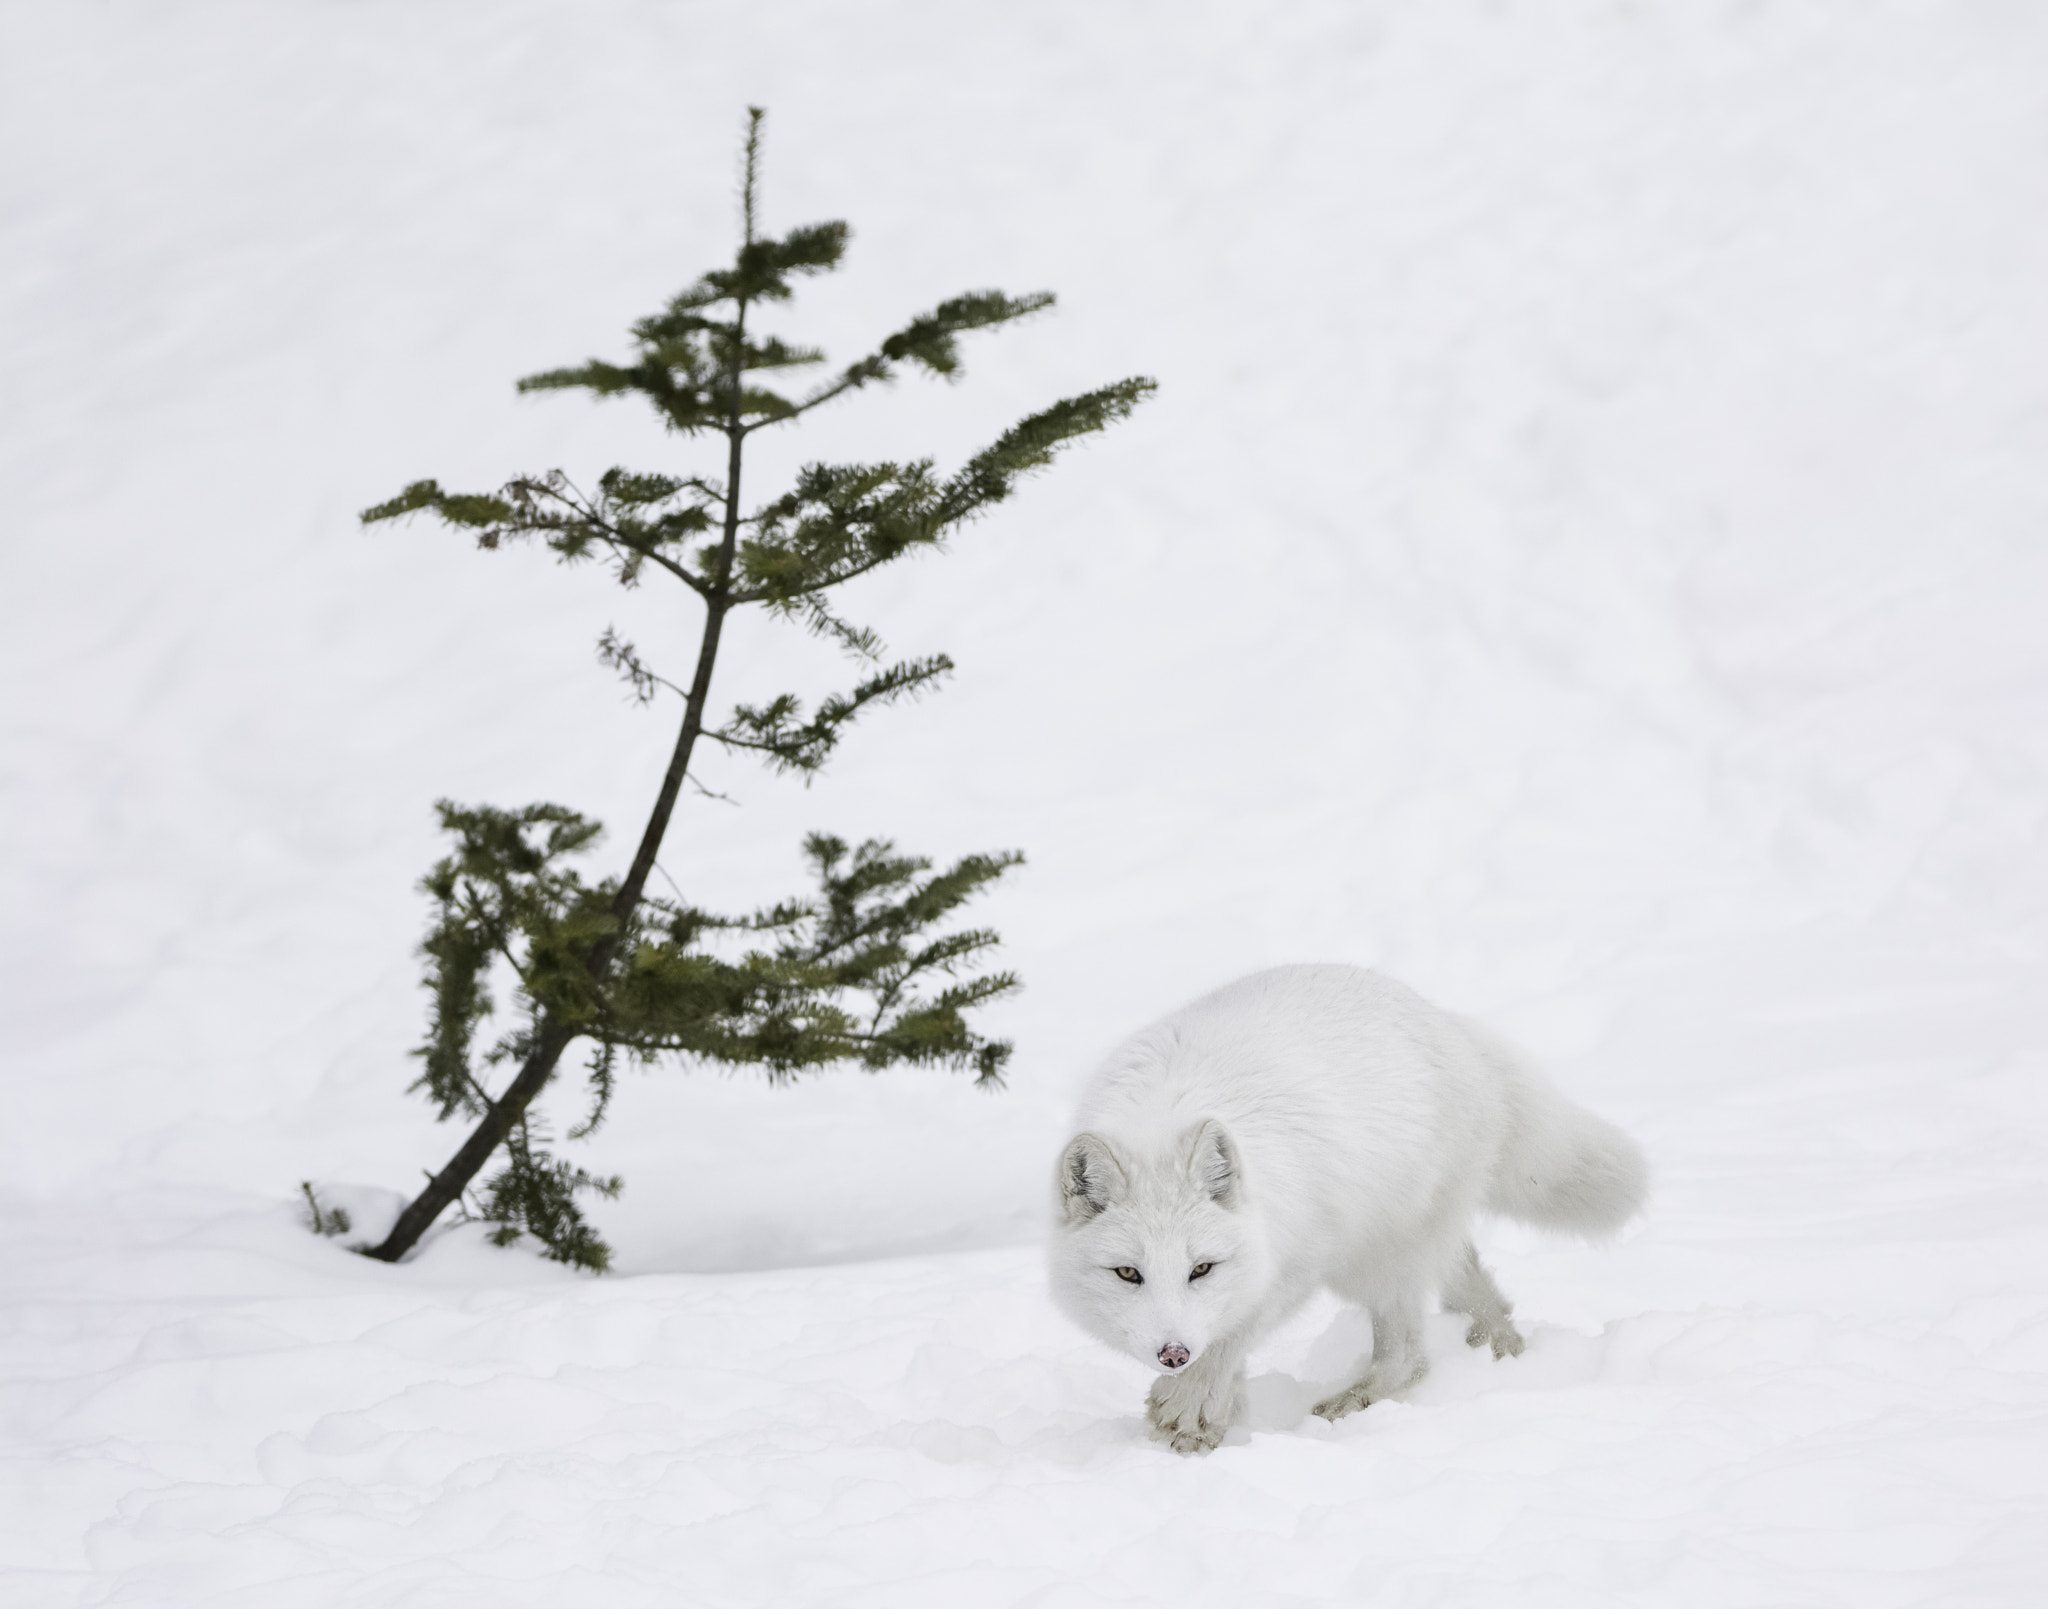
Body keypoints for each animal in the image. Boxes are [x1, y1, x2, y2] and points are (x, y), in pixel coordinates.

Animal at [1049, 964, 1647, 1453]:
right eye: (1129, 1273)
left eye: (1201, 1269)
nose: (1173, 1354)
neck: (1158, 1124)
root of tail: (1450, 1024)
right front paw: (1213, 1414)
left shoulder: (1294, 1260)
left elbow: (1231, 1335)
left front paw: (1191, 1406)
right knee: (1471, 1289)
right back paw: (1499, 1346)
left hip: (1380, 1257)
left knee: (1410, 1359)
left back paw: (1347, 1405)